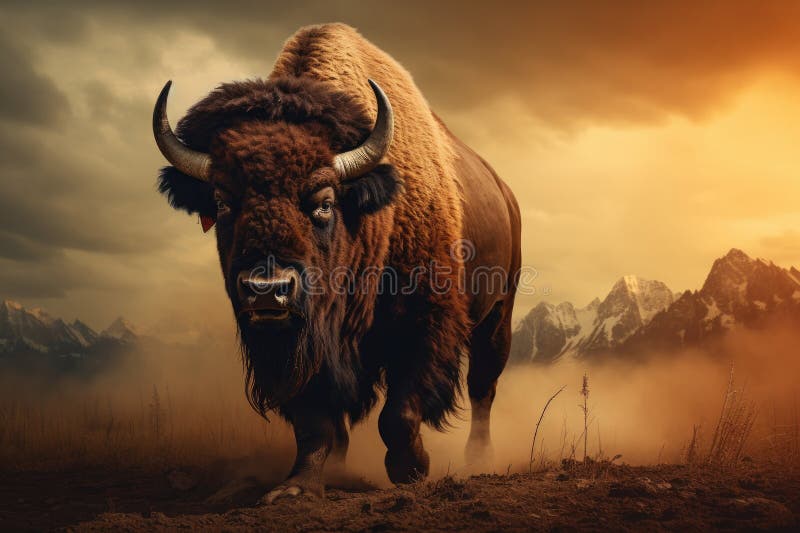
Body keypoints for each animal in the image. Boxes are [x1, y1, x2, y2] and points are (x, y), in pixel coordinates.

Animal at [153, 23, 521, 502]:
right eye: (222, 201)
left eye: (324, 203)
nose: (268, 290)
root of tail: (505, 193)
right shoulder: (299, 345)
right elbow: (316, 422)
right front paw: (297, 487)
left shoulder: (424, 321)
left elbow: (398, 413)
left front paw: (412, 469)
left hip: (498, 313)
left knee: (482, 388)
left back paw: (479, 459)